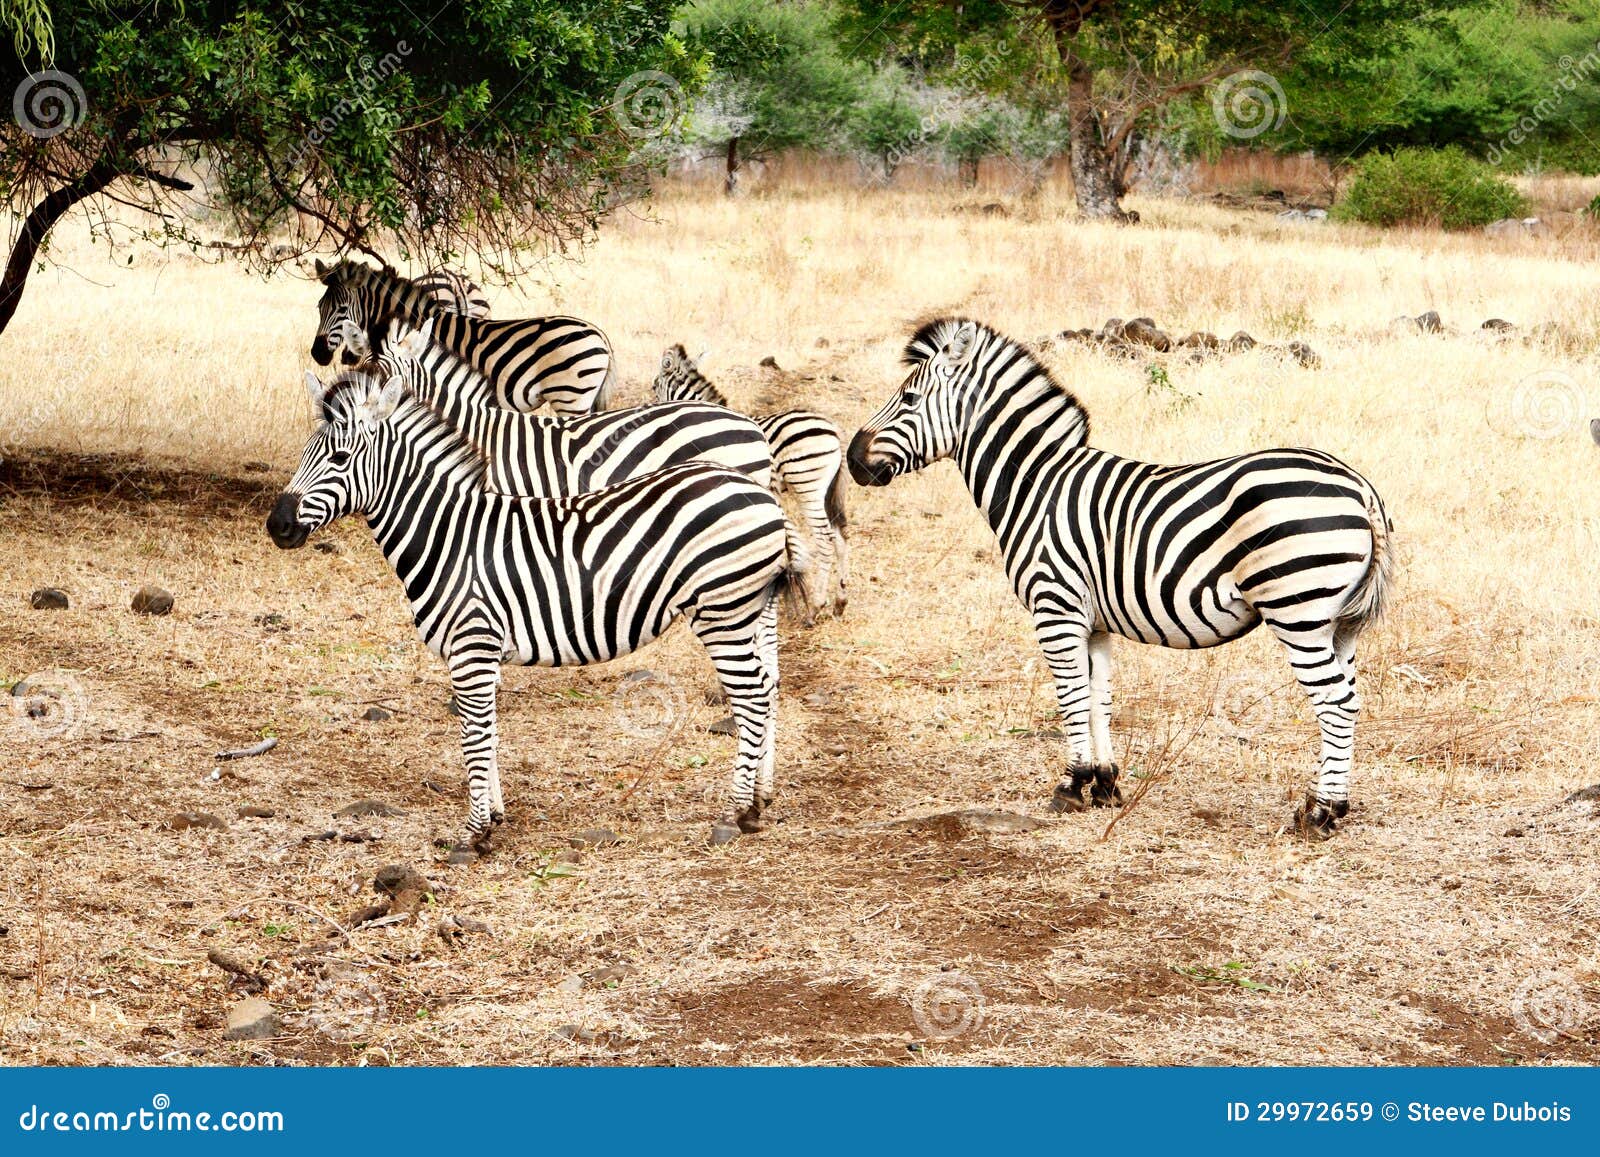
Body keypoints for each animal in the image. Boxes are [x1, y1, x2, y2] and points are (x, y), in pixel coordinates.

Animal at [266, 373, 814, 861]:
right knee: (769, 685)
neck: (449, 536)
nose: (278, 526)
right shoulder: (481, 652)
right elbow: (486, 731)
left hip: (721, 609)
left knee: (751, 696)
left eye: (339, 458)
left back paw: (736, 813)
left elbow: (474, 736)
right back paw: (759, 800)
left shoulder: (472, 645)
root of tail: (763, 495)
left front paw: (473, 836)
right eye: (305, 452)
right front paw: (495, 816)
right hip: (752, 607)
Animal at [654, 344, 849, 618]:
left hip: (807, 484)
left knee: (824, 538)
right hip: (829, 488)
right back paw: (840, 600)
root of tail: (832, 428)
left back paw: (817, 604)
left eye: (654, 387)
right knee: (840, 536)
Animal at [847, 318, 1393, 837]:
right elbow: (1098, 699)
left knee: (1336, 704)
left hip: (1297, 613)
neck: (1035, 486)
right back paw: (1333, 806)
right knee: (1351, 700)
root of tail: (1360, 485)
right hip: (1339, 624)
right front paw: (1105, 784)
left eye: (909, 398)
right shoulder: (1094, 623)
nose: (853, 461)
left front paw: (1070, 787)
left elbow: (1070, 699)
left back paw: (1319, 815)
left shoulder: (1055, 609)